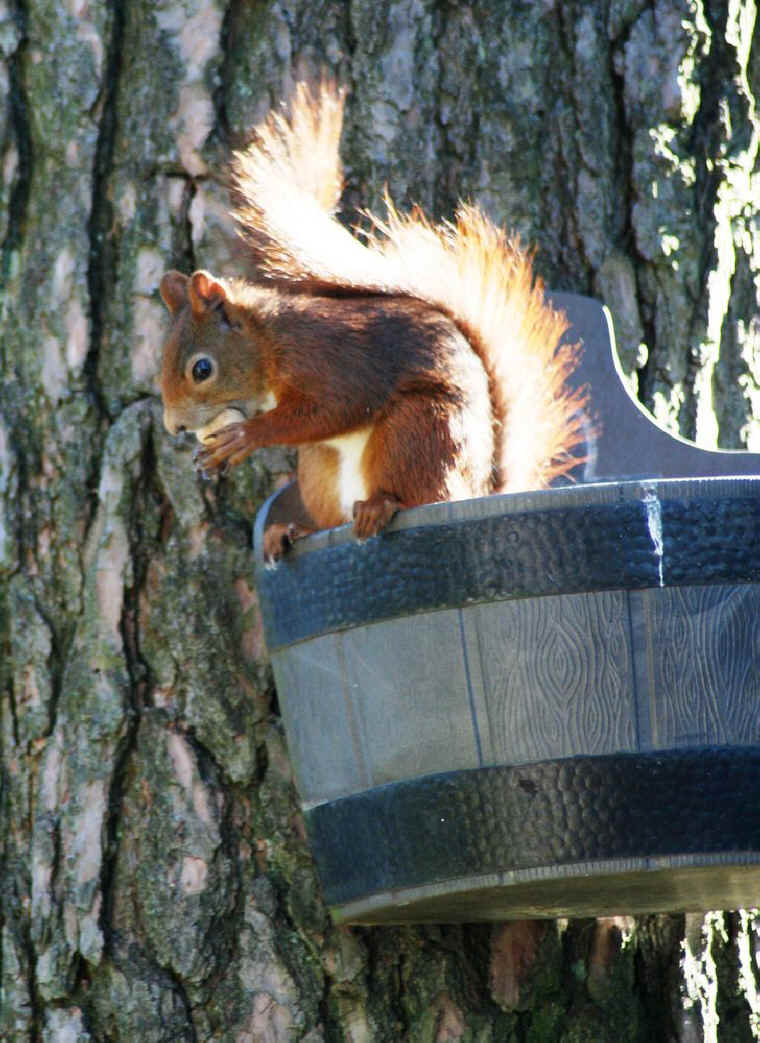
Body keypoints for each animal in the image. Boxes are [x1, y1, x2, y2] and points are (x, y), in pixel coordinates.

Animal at [159, 81, 585, 560]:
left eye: (201, 369)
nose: (174, 427)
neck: (268, 345)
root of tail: (477, 489)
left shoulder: (328, 358)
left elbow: (335, 406)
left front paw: (245, 436)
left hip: (420, 431)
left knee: (417, 494)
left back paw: (380, 506)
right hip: (321, 468)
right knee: (332, 520)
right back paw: (290, 530)